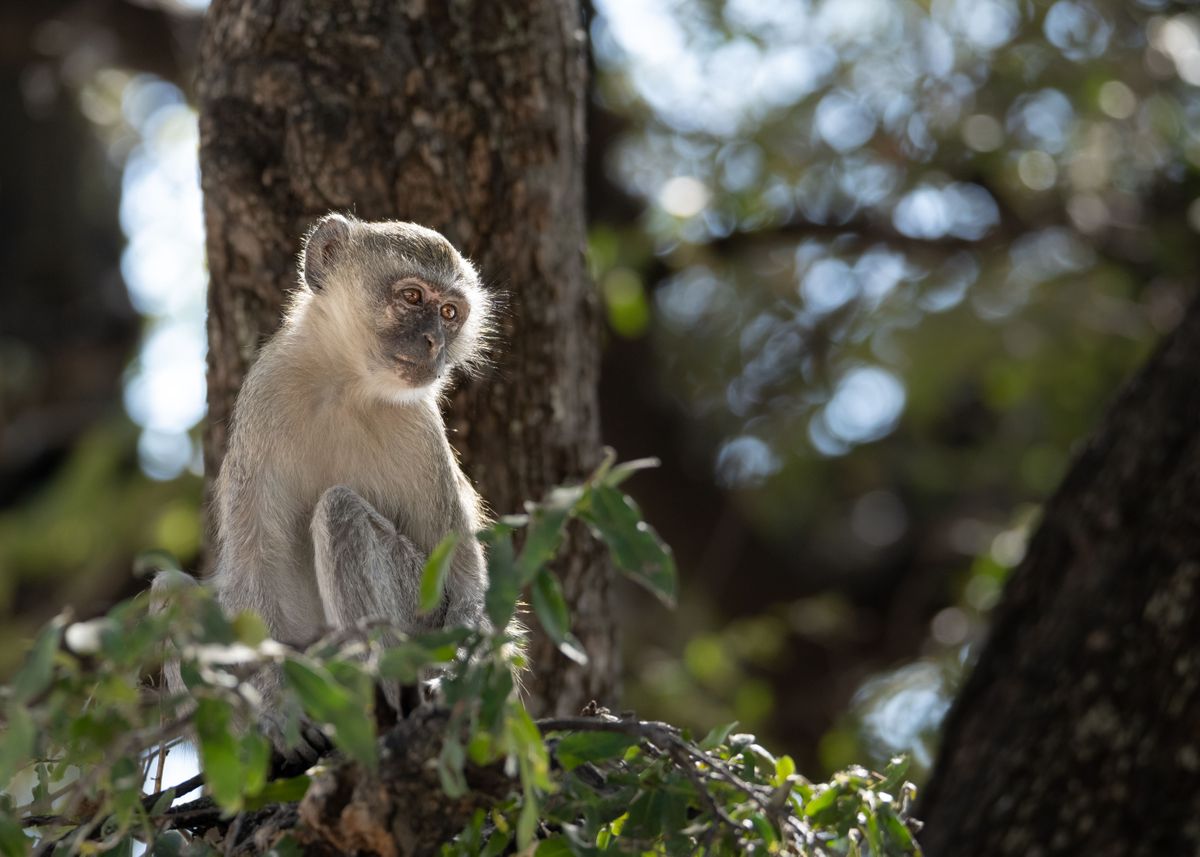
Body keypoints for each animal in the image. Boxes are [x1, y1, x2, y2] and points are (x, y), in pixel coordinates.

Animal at [155, 213, 497, 764]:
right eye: (412, 298)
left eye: (450, 313)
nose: (434, 344)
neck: (346, 385)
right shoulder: (264, 399)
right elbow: (255, 567)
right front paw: (276, 712)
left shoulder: (422, 431)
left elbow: (464, 573)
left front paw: (458, 674)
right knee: (171, 591)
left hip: (418, 631)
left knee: (341, 511)